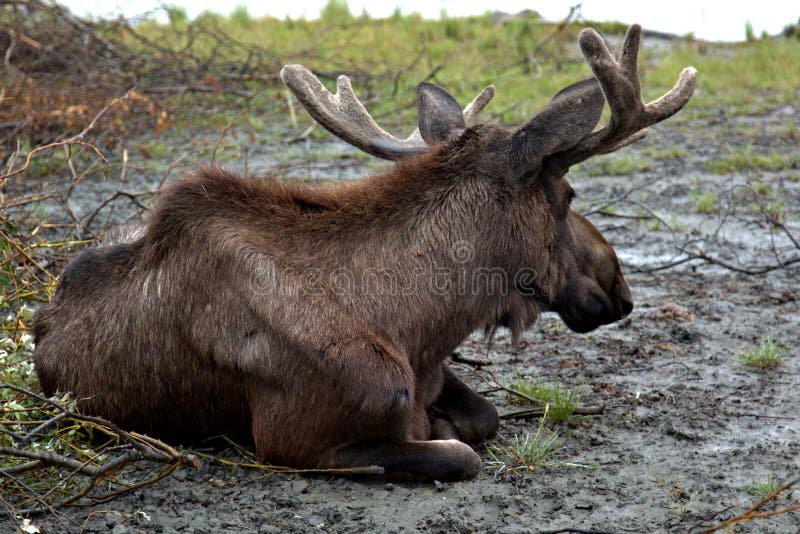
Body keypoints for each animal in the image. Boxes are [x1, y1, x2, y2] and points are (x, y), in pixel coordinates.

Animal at [33, 25, 695, 480]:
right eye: (567, 196)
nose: (620, 288)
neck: (416, 322)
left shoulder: (434, 366)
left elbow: (485, 415)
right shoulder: (291, 440)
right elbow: (459, 454)